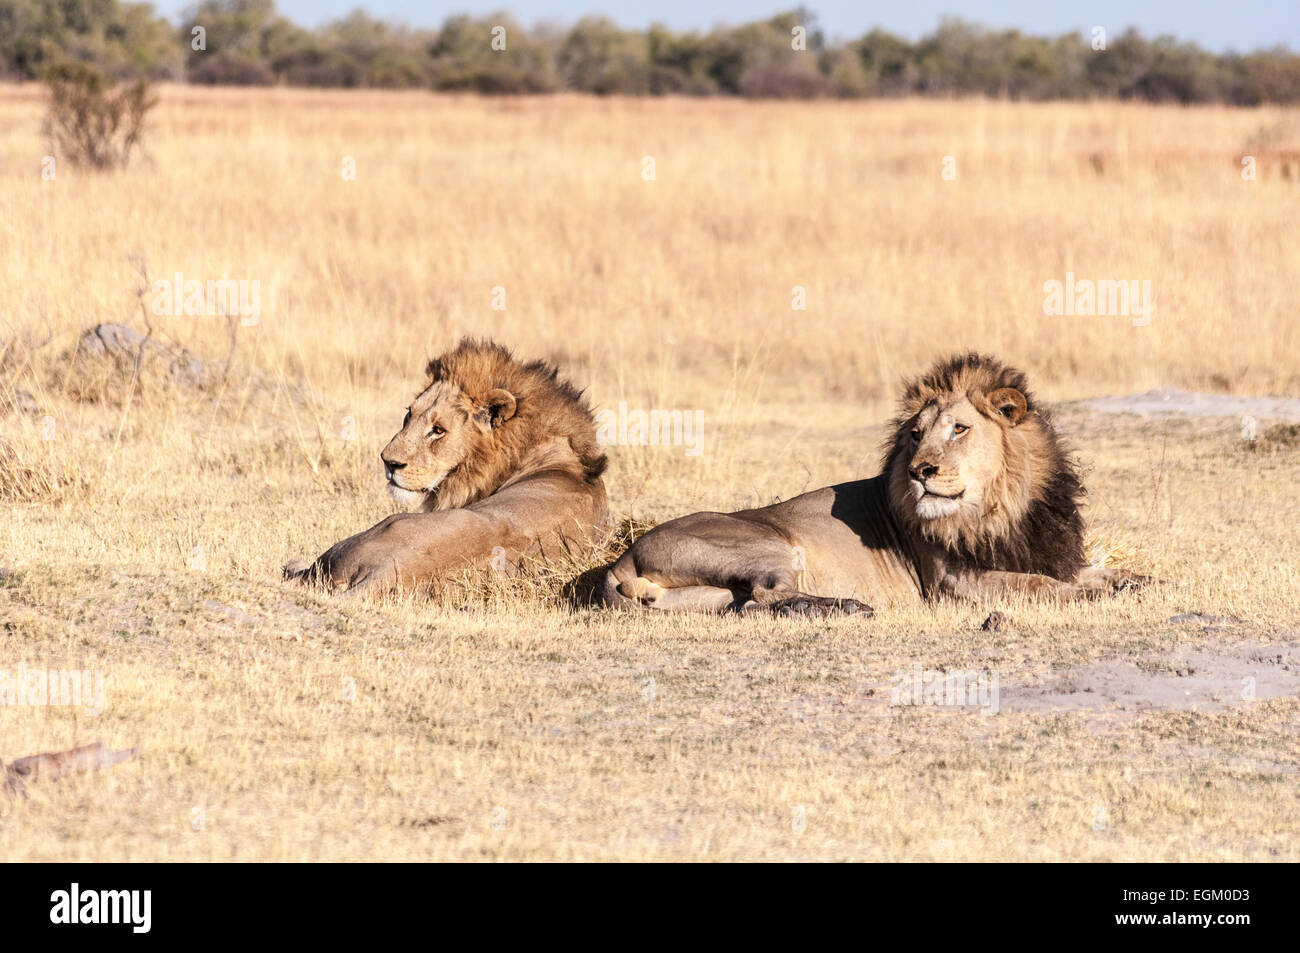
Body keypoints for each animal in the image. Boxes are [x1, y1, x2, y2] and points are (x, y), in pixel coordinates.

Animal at [602, 352, 1152, 615]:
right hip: (766, 544)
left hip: (705, 598)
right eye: (915, 435)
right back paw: (843, 607)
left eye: (959, 429)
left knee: (746, 606)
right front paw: (1087, 596)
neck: (1004, 506)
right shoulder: (952, 584)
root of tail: (624, 555)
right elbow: (1038, 585)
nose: (919, 472)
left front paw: (1136, 581)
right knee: (766, 595)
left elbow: (1092, 572)